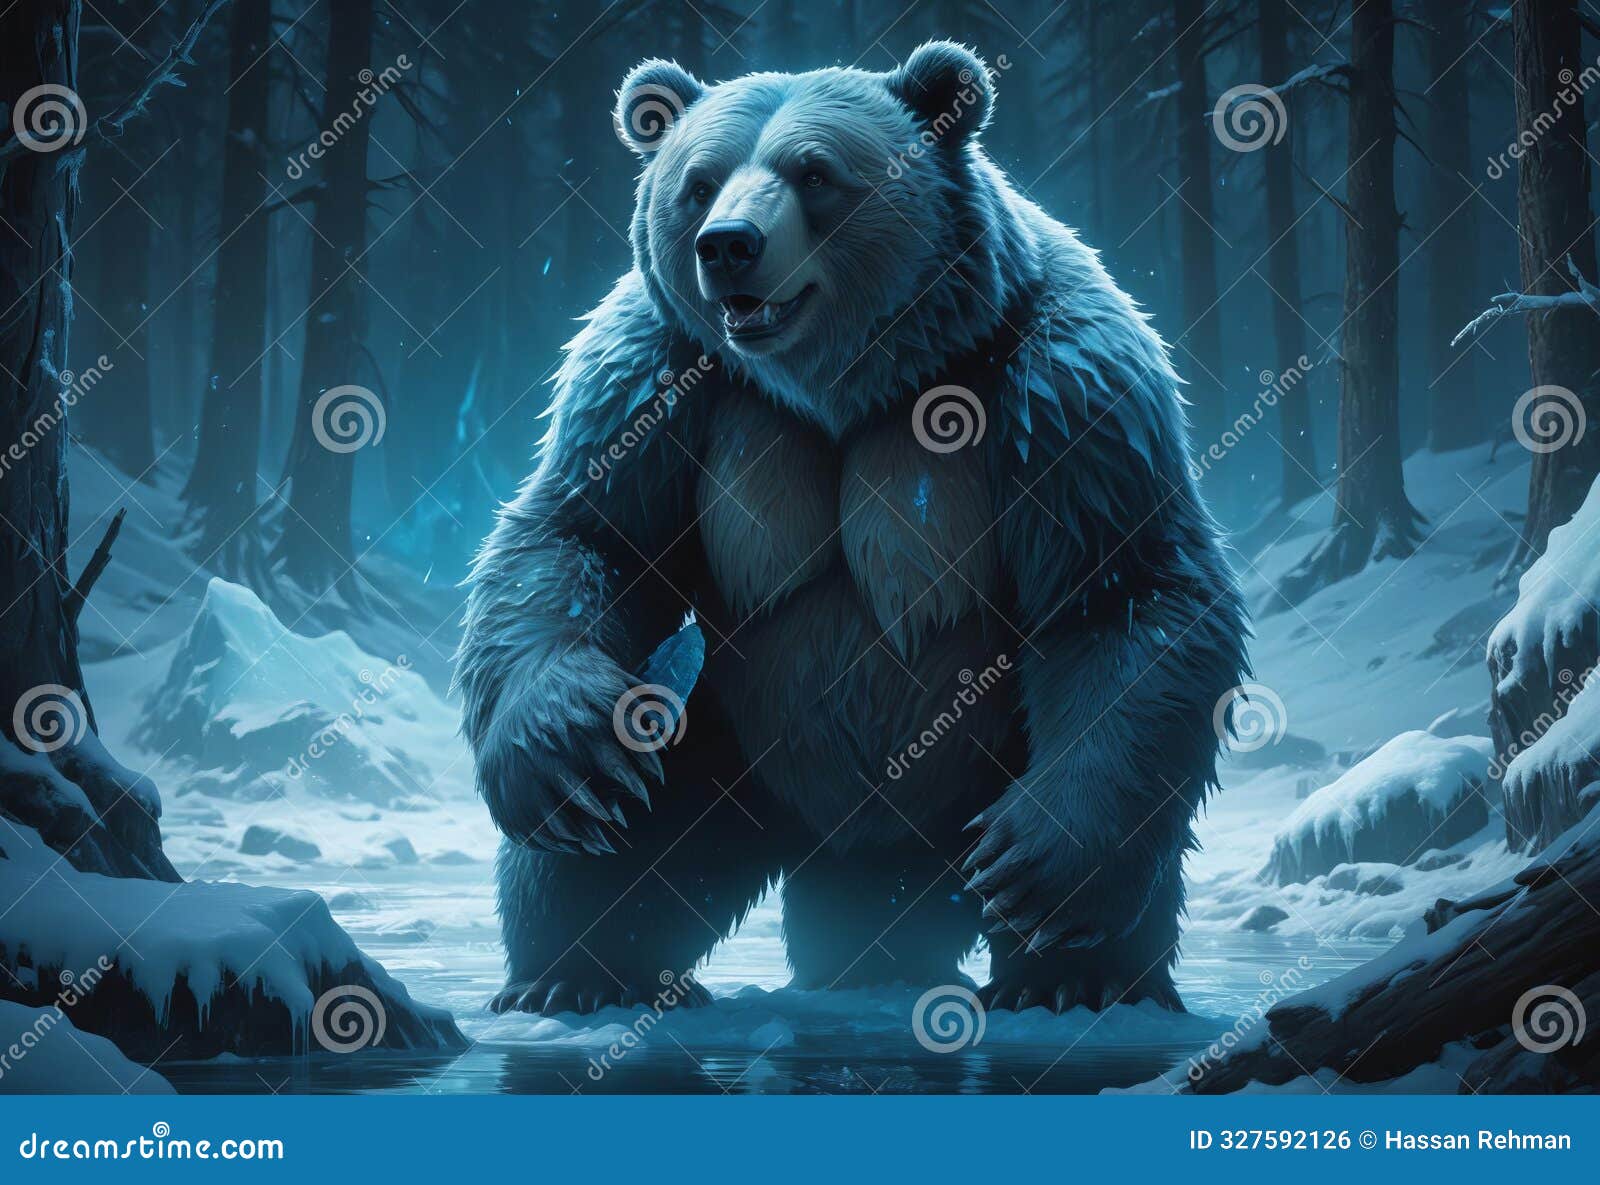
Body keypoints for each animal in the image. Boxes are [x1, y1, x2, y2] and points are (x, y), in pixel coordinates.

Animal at [455, 41, 1249, 1017]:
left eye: (815, 173)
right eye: (698, 181)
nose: (729, 245)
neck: (849, 383)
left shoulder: (1061, 388)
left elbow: (1123, 589)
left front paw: (1035, 865)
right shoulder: (661, 378)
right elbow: (586, 537)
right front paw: (571, 759)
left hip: (967, 760)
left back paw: (1073, 975)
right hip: (727, 746)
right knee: (625, 849)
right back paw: (574, 971)